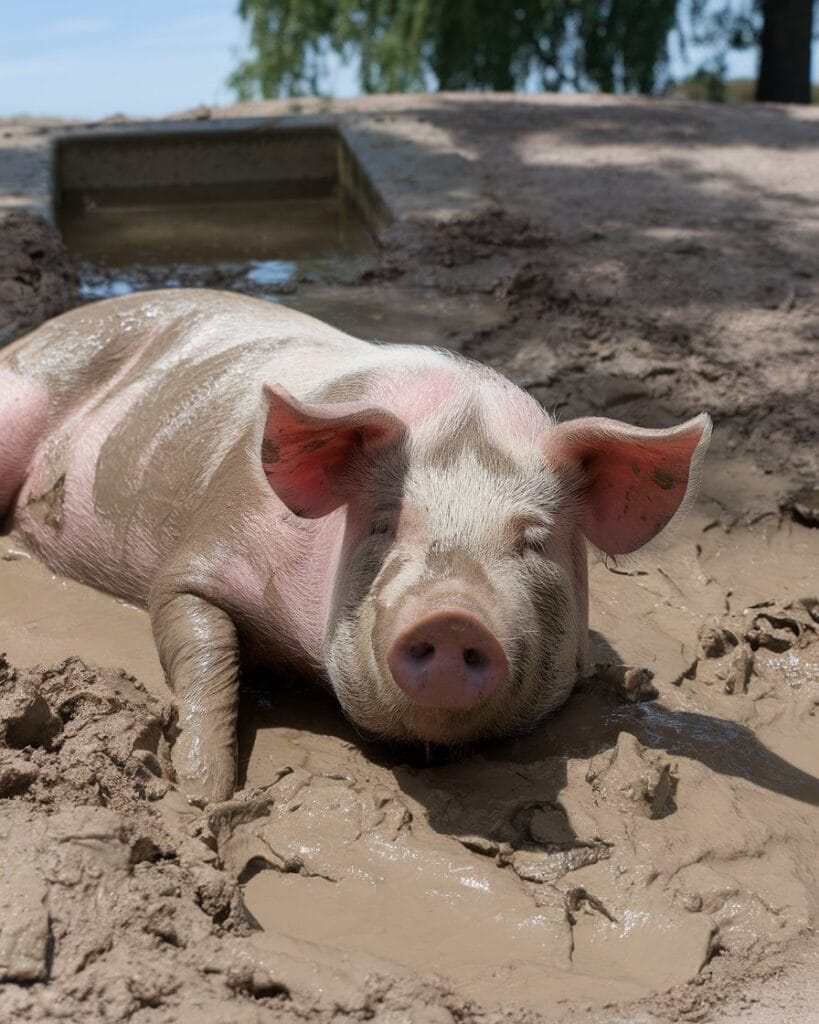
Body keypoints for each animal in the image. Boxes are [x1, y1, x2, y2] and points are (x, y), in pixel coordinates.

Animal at [0, 289, 711, 802]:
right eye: (383, 523)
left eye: (535, 540)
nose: (453, 618)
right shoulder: (204, 543)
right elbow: (201, 641)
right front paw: (202, 791)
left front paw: (638, 683)